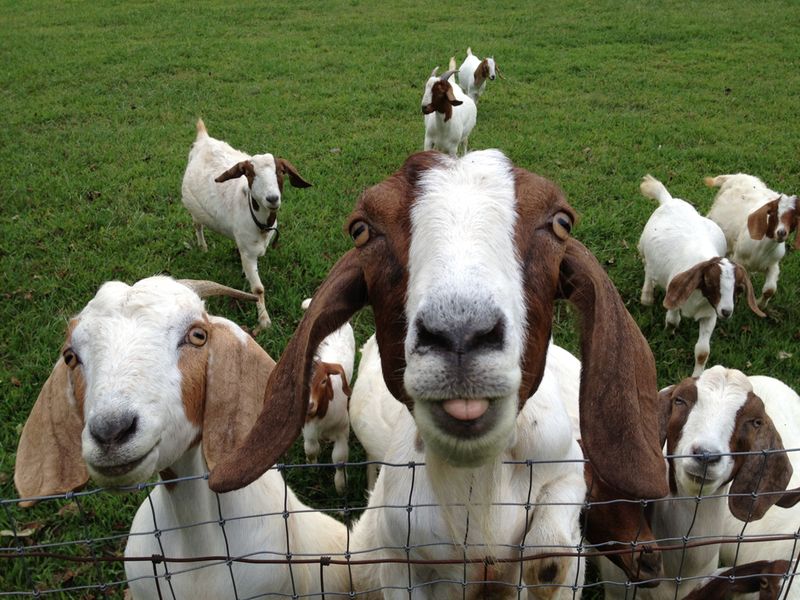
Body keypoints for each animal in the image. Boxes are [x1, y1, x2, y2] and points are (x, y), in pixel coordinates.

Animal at [181, 118, 312, 332]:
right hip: (194, 208)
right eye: (249, 173)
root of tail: (204, 138)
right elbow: (258, 289)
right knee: (197, 226)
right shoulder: (249, 253)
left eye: (281, 171)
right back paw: (203, 246)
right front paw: (264, 321)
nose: (272, 198)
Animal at [300, 297, 355, 494]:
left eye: (324, 380)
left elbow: (339, 458)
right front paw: (312, 468)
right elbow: (311, 449)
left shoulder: (343, 427)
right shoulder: (306, 428)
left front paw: (341, 486)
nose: (308, 405)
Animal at [637, 174, 763, 376]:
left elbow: (703, 351)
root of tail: (670, 200)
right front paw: (669, 335)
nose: (726, 311)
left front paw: (697, 376)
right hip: (643, 248)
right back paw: (647, 296)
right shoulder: (675, 297)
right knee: (649, 270)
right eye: (711, 282)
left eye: (738, 288)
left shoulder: (710, 314)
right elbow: (672, 321)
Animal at [706, 173, 799, 309]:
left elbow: (770, 289)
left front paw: (760, 304)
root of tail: (737, 175)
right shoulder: (739, 260)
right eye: (773, 213)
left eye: (793, 217)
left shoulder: (773, 264)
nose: (781, 233)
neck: (762, 248)